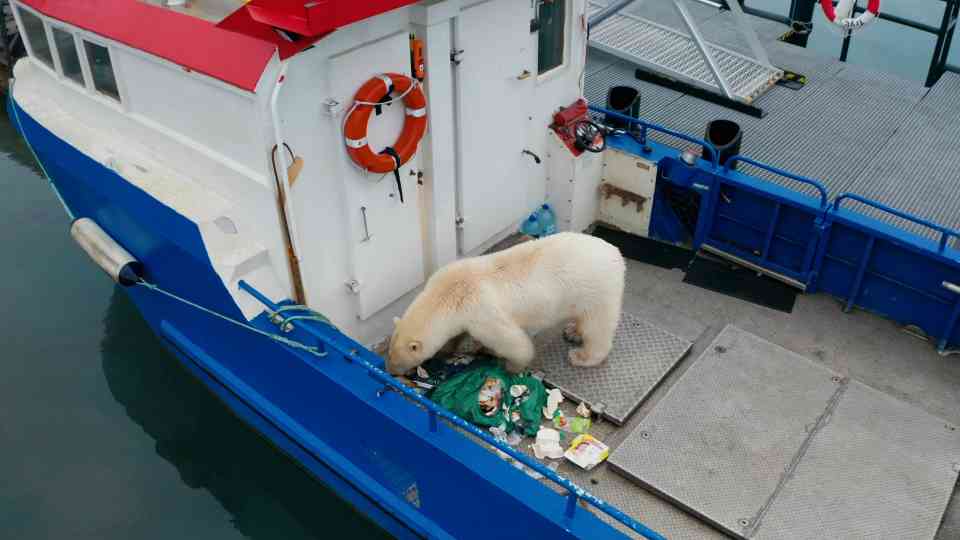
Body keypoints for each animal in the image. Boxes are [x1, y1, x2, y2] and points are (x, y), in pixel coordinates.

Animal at [386, 232, 625, 375]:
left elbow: (513, 342)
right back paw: (573, 331)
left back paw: (582, 355)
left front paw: (510, 364)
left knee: (597, 328)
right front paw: (451, 348)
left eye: (397, 360)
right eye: (389, 353)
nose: (390, 371)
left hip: (597, 290)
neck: (448, 293)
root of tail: (616, 254)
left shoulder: (480, 312)